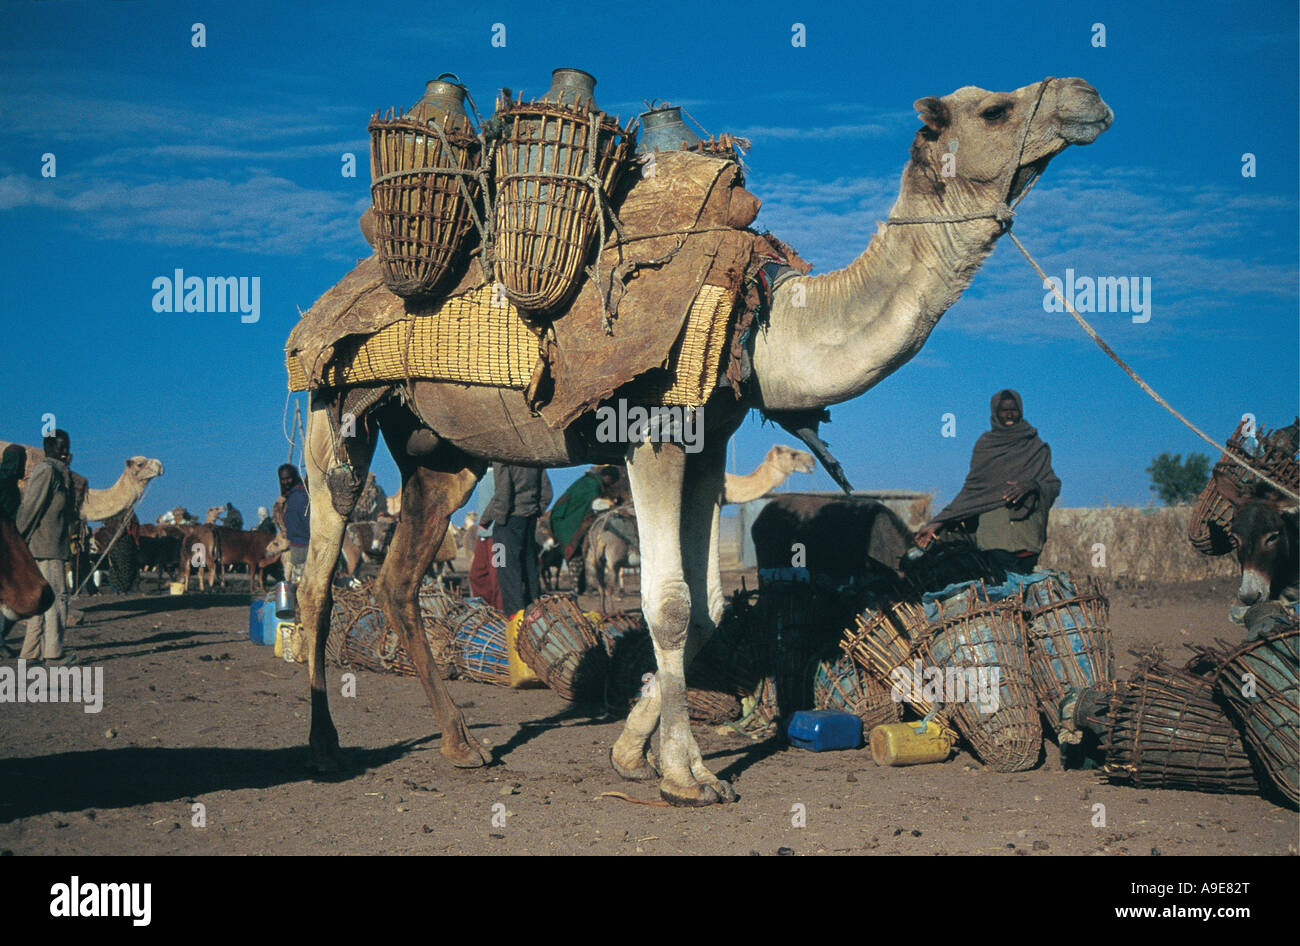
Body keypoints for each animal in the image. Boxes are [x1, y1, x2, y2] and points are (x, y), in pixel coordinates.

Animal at [294, 77, 1112, 806]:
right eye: (995, 108)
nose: (1087, 95)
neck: (768, 321)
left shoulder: (708, 442)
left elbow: (712, 606)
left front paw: (635, 754)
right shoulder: (650, 432)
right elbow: (669, 603)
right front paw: (688, 778)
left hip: (442, 454)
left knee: (398, 579)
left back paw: (464, 746)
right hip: (333, 407)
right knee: (319, 576)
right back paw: (326, 749)